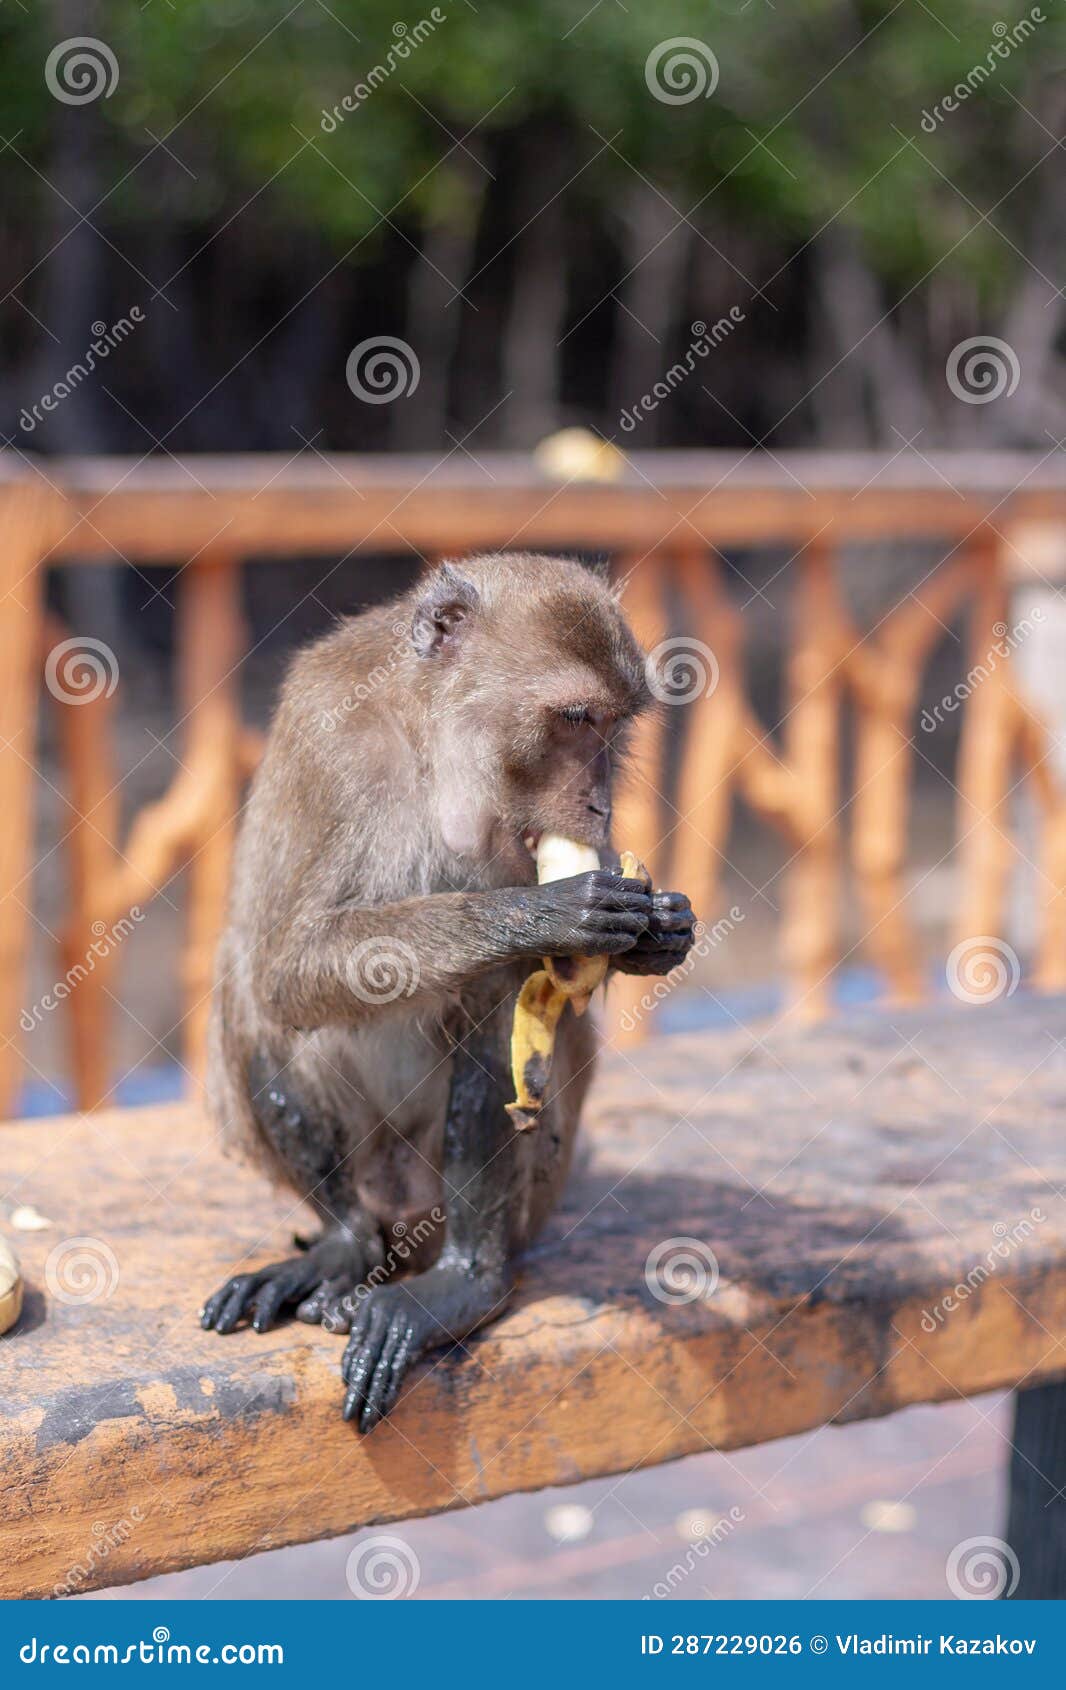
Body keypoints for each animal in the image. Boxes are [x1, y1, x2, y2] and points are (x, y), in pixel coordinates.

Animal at [201, 552, 696, 1432]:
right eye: (575, 719)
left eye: (613, 728)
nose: (600, 800)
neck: (435, 744)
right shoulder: (331, 741)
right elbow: (287, 966)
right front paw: (544, 912)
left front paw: (660, 932)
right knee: (251, 986)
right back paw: (343, 1241)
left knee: (495, 1009)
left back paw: (468, 1280)